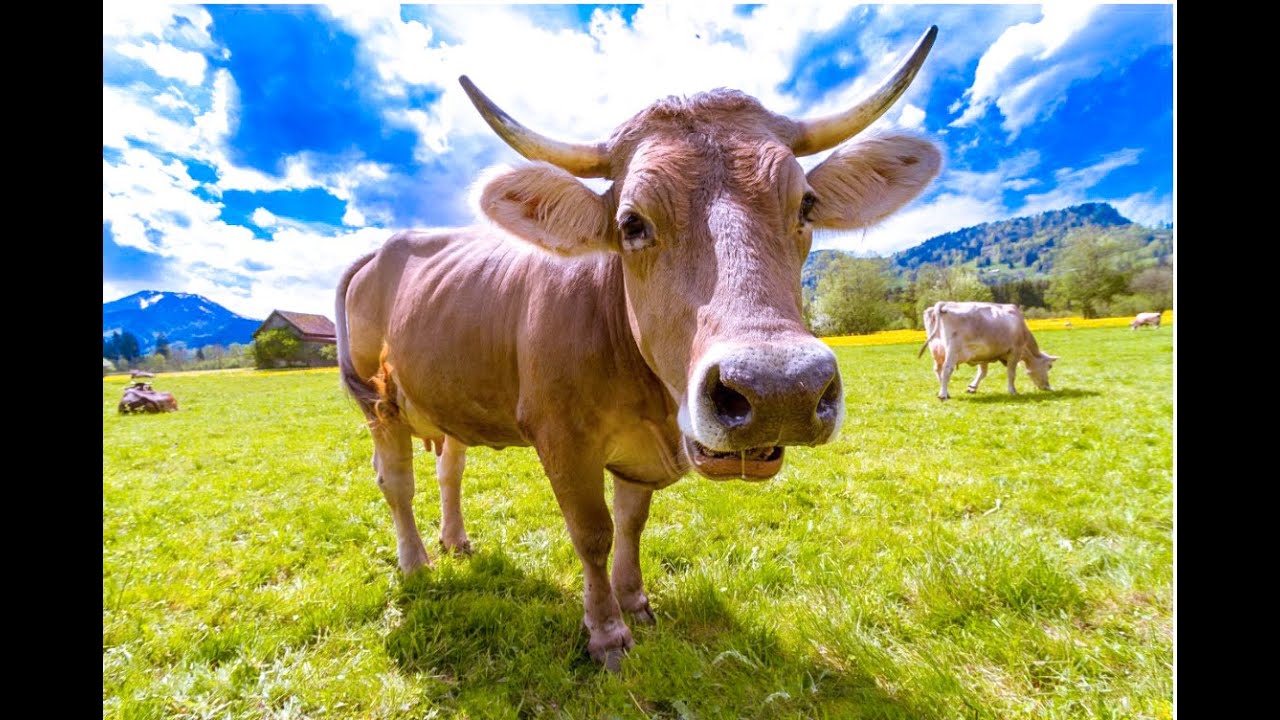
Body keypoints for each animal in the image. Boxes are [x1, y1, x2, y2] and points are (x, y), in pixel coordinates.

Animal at [337, 27, 942, 668]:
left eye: (806, 204)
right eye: (631, 223)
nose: (781, 389)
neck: (649, 399)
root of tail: (386, 247)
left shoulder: (637, 455)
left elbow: (631, 525)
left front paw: (636, 603)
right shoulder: (562, 438)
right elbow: (593, 533)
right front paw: (606, 632)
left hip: (447, 395)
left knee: (449, 467)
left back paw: (456, 542)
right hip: (379, 404)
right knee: (396, 481)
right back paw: (416, 563)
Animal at [918, 301, 1057, 400]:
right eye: (1049, 366)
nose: (1047, 387)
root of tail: (944, 303)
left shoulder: (983, 355)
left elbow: (982, 372)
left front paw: (972, 388)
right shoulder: (1015, 351)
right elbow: (1011, 373)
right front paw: (1012, 391)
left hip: (937, 350)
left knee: (938, 370)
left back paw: (945, 391)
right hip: (952, 350)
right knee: (947, 369)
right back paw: (943, 394)